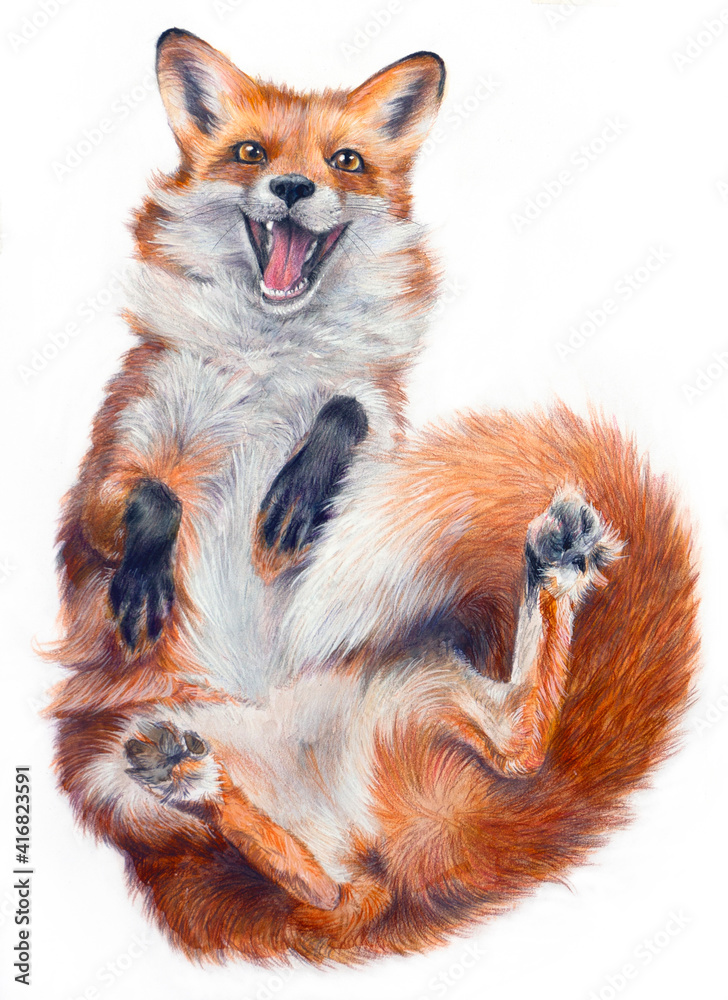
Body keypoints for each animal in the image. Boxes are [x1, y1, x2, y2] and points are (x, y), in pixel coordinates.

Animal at [48, 28, 698, 965]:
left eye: (345, 162)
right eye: (251, 154)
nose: (293, 188)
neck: (271, 360)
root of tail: (349, 823)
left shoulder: (388, 450)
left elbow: (348, 408)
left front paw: (293, 495)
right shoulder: (108, 468)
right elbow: (152, 504)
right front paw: (142, 587)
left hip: (415, 676)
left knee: (503, 758)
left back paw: (554, 568)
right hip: (108, 770)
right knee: (334, 891)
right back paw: (196, 777)